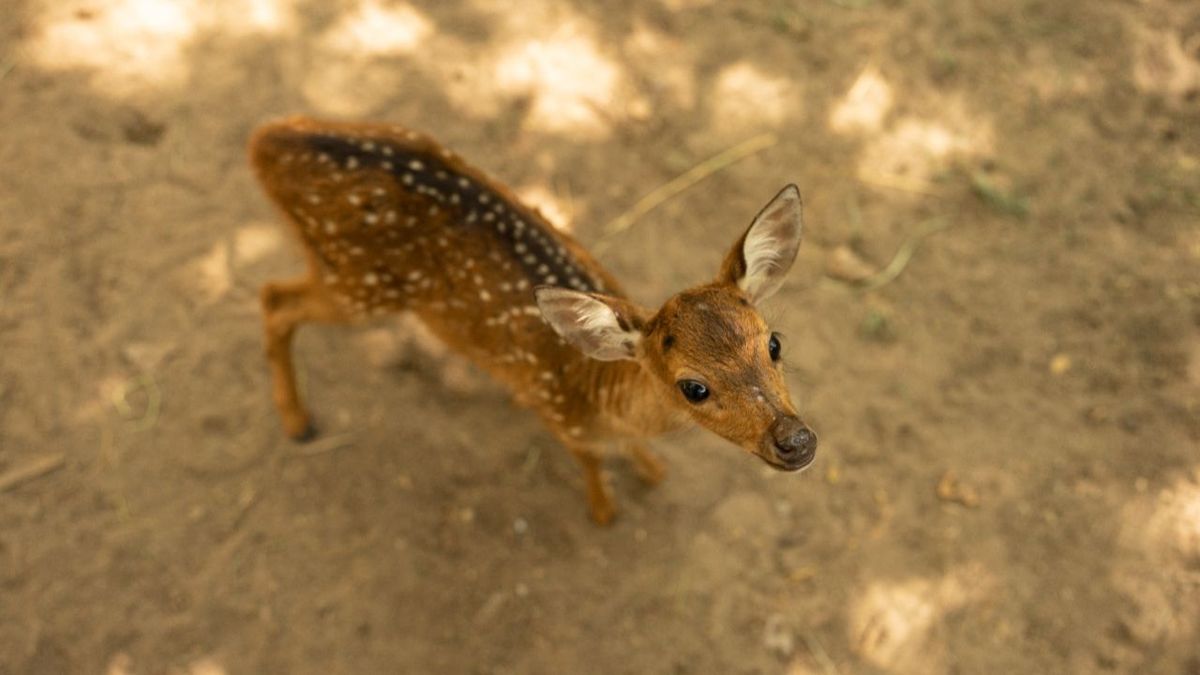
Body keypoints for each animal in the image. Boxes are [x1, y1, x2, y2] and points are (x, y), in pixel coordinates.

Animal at [250, 116, 817, 525]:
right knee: (274, 298)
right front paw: (604, 510)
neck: (599, 390)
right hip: (360, 283)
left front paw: (654, 470)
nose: (796, 441)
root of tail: (264, 142)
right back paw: (298, 422)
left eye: (774, 343)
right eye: (692, 387)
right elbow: (589, 460)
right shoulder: (555, 411)